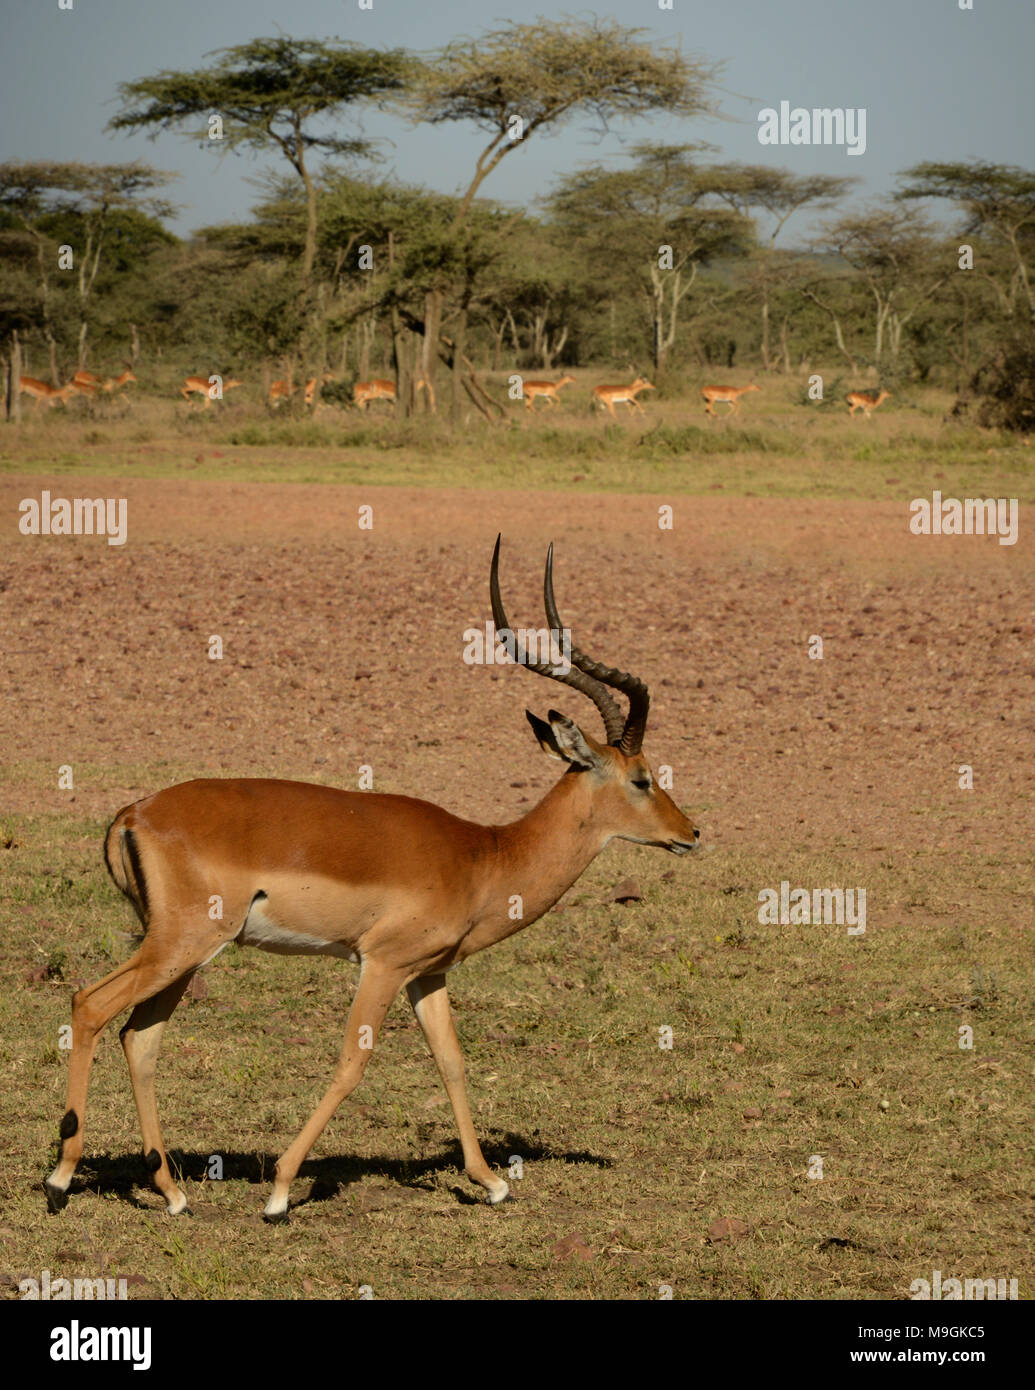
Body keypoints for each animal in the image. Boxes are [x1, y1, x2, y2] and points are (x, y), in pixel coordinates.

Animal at [43, 537, 700, 1222]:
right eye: (642, 777)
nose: (691, 833)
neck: (484, 855)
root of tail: (133, 812)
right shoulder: (381, 963)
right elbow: (352, 1063)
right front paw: (280, 1192)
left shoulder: (427, 974)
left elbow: (452, 1061)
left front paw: (490, 1181)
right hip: (182, 943)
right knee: (90, 1005)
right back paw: (60, 1181)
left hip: (185, 953)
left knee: (139, 1036)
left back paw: (171, 1192)